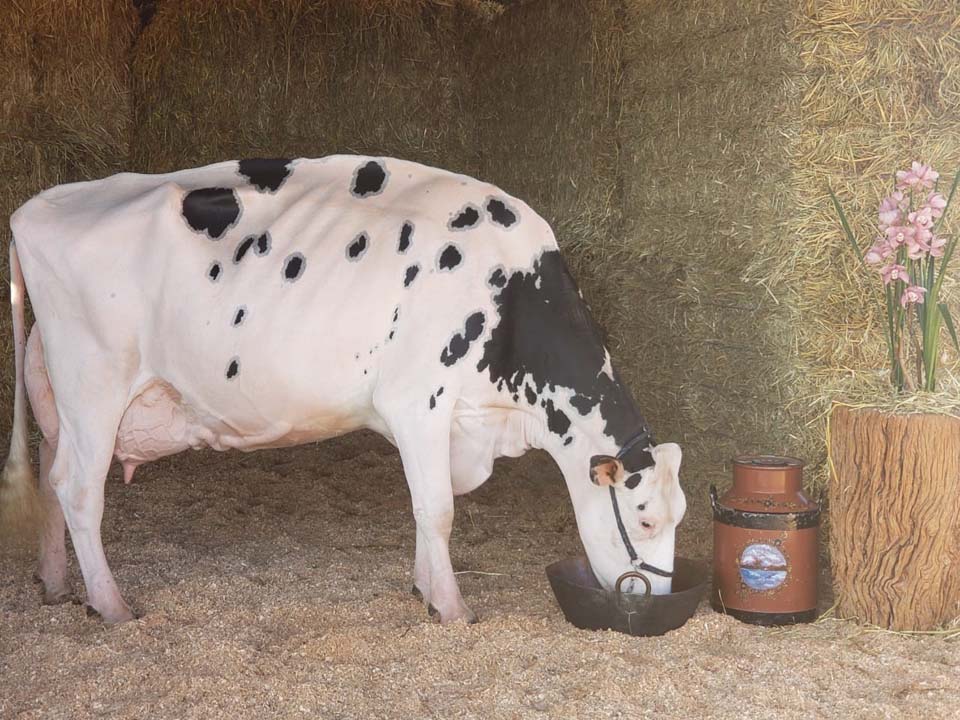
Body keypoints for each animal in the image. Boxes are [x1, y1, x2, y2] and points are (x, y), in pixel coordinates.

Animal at [0, 156, 686, 624]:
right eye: (645, 518)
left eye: (679, 515)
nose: (656, 598)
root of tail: (41, 204)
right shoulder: (418, 403)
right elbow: (437, 508)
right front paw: (451, 607)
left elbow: (424, 509)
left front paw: (424, 588)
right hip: (95, 385)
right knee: (77, 489)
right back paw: (112, 606)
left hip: (58, 394)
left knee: (51, 473)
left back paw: (56, 583)